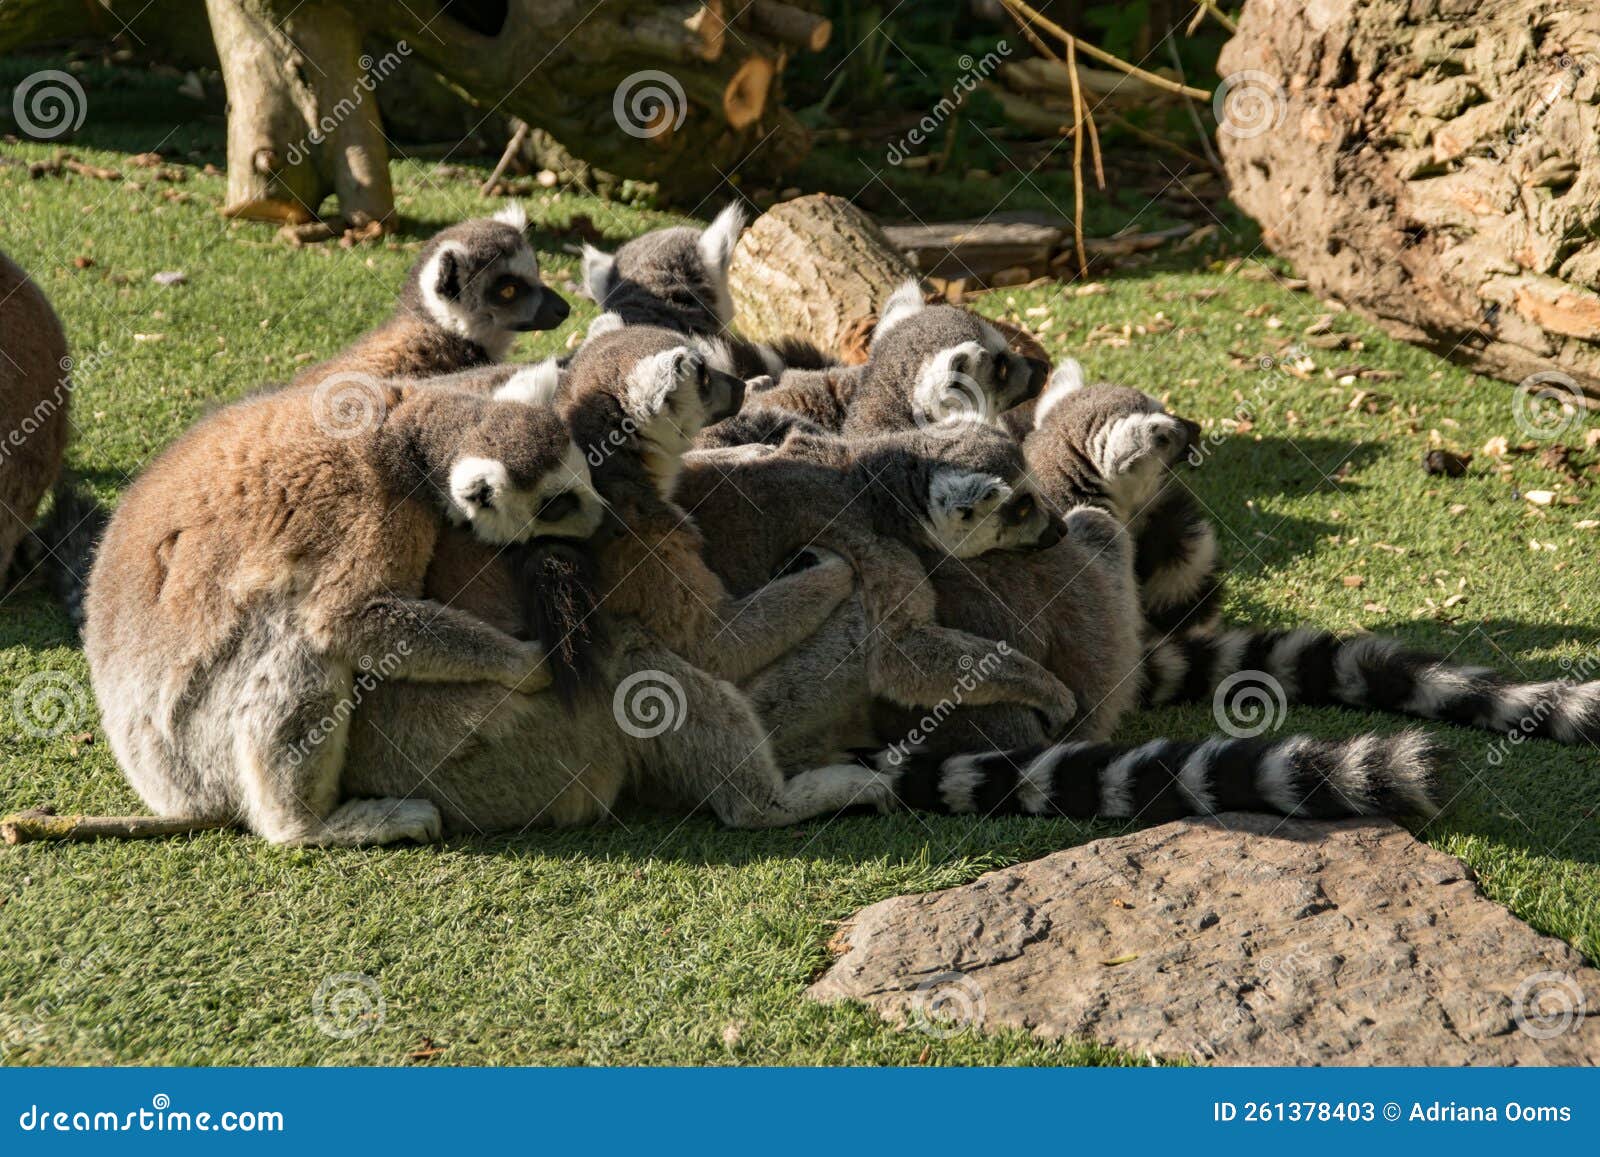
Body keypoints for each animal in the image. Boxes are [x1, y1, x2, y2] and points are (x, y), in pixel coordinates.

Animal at [83, 382, 606, 846]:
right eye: (557, 504)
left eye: (585, 475)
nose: (607, 518)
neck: (403, 430)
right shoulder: (374, 504)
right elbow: (346, 618)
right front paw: (529, 664)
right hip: (193, 745)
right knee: (300, 646)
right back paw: (309, 826)